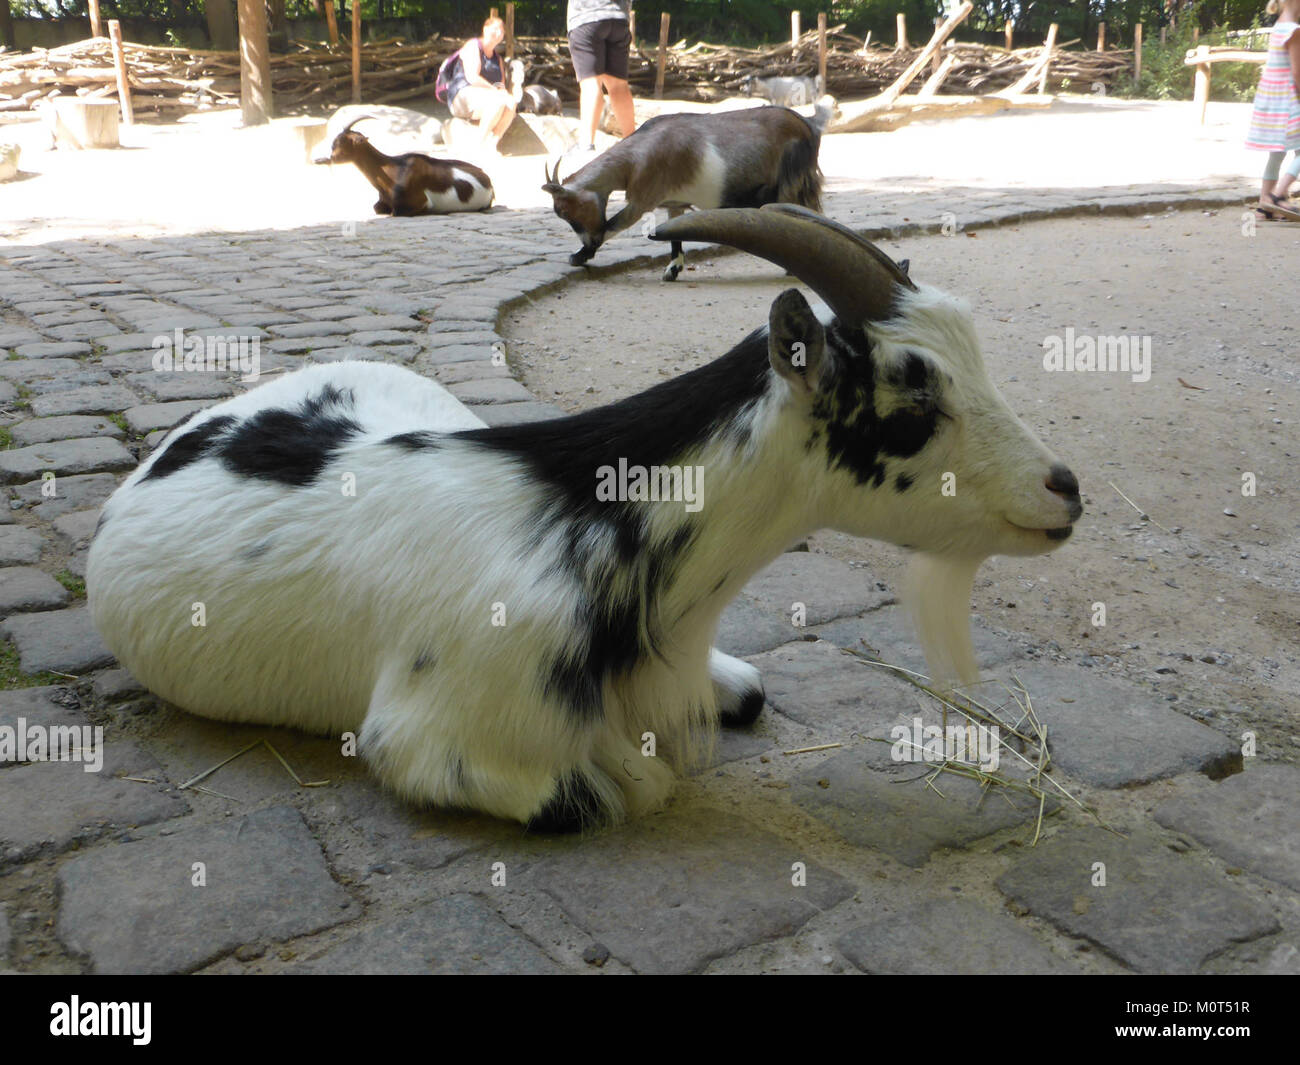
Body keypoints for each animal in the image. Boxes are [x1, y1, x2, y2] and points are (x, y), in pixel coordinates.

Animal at [85, 204, 1082, 834]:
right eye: (912, 404)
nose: (1066, 489)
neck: (591, 527)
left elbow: (745, 693)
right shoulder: (442, 745)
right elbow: (633, 787)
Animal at [329, 119, 493, 216]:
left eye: (340, 142)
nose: (331, 158)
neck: (394, 168)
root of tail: (489, 183)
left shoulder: (420, 203)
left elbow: (396, 212)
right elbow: (377, 208)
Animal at [542, 105, 828, 281]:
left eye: (565, 210)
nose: (587, 241)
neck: (635, 158)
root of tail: (808, 126)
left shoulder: (642, 200)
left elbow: (612, 225)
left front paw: (578, 257)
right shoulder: (673, 202)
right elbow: (673, 234)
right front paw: (673, 270)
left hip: (791, 183)